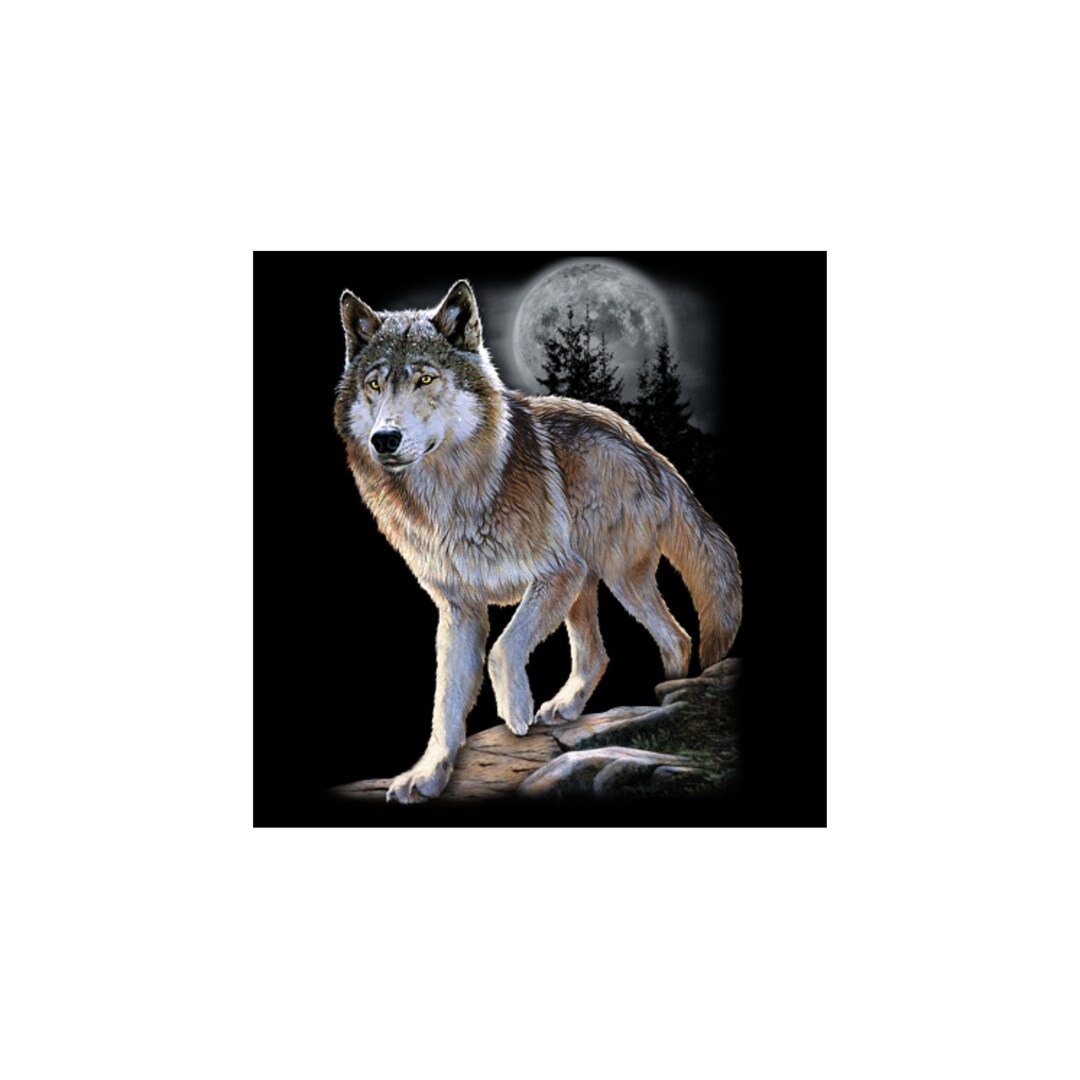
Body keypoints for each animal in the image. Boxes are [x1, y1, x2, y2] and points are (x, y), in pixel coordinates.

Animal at [334, 280, 741, 803]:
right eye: (375, 385)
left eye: (425, 380)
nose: (385, 438)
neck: (453, 498)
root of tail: (645, 446)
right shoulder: (460, 609)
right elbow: (446, 701)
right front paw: (429, 774)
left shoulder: (554, 573)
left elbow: (503, 649)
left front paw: (516, 713)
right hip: (583, 590)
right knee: (596, 653)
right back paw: (568, 707)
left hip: (613, 577)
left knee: (677, 637)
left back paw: (658, 701)